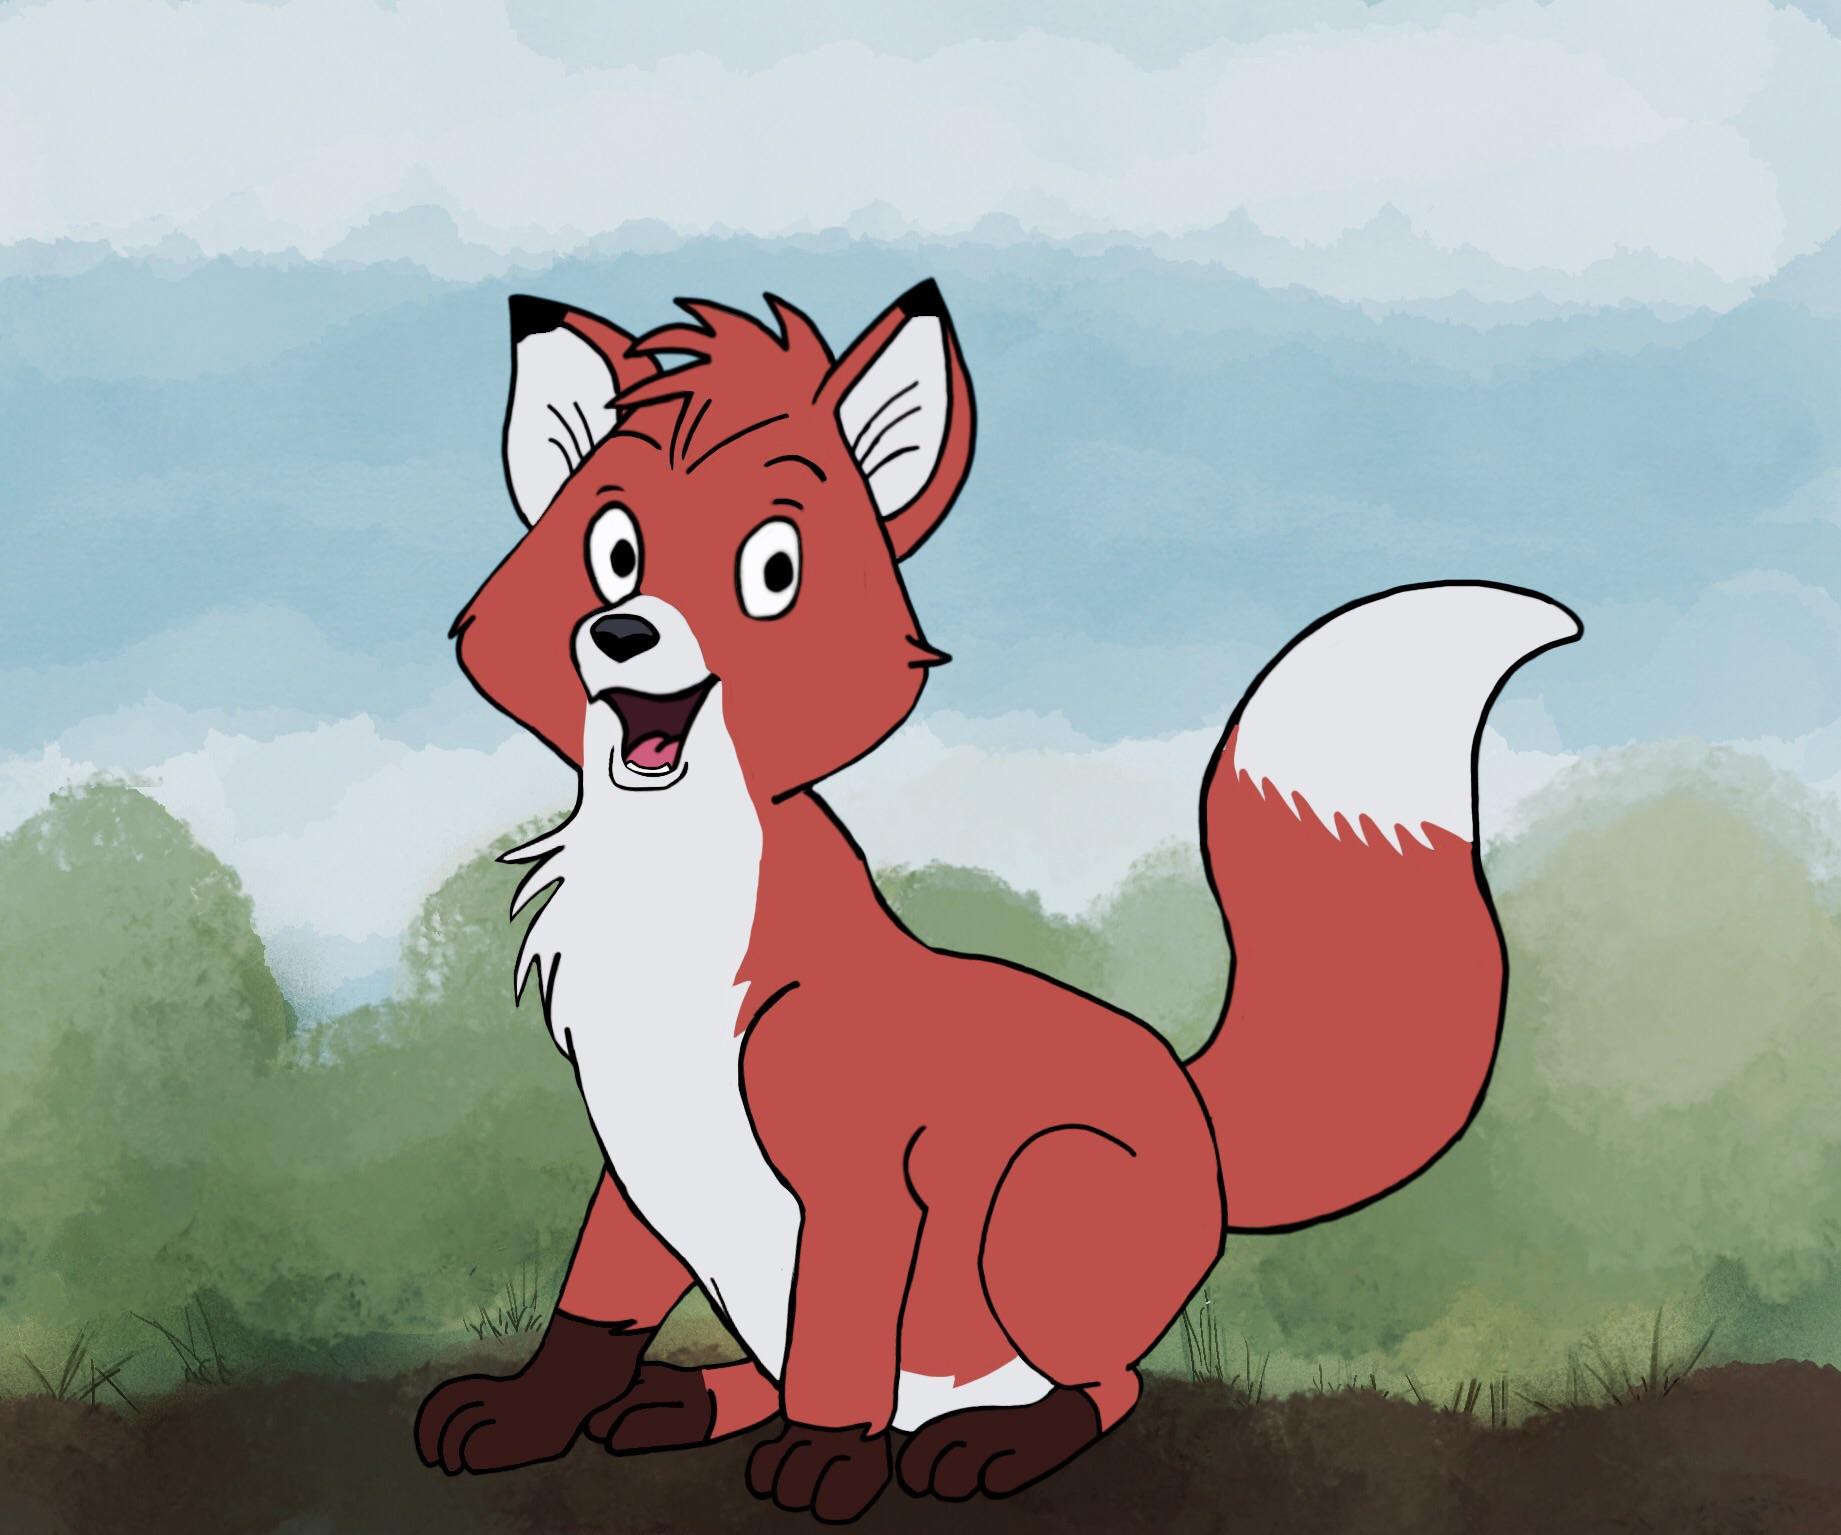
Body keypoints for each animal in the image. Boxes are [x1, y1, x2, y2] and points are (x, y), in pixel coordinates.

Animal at [414, 279, 1581, 1521]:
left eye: (772, 570)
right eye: (615, 552)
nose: (624, 631)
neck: (672, 898)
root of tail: (1193, 1106)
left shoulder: (858, 1178)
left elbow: (839, 1345)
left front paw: (828, 1459)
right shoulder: (636, 1157)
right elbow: (591, 1312)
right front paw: (527, 1415)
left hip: (1044, 1191)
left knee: (1104, 1383)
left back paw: (986, 1442)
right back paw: (692, 1397)